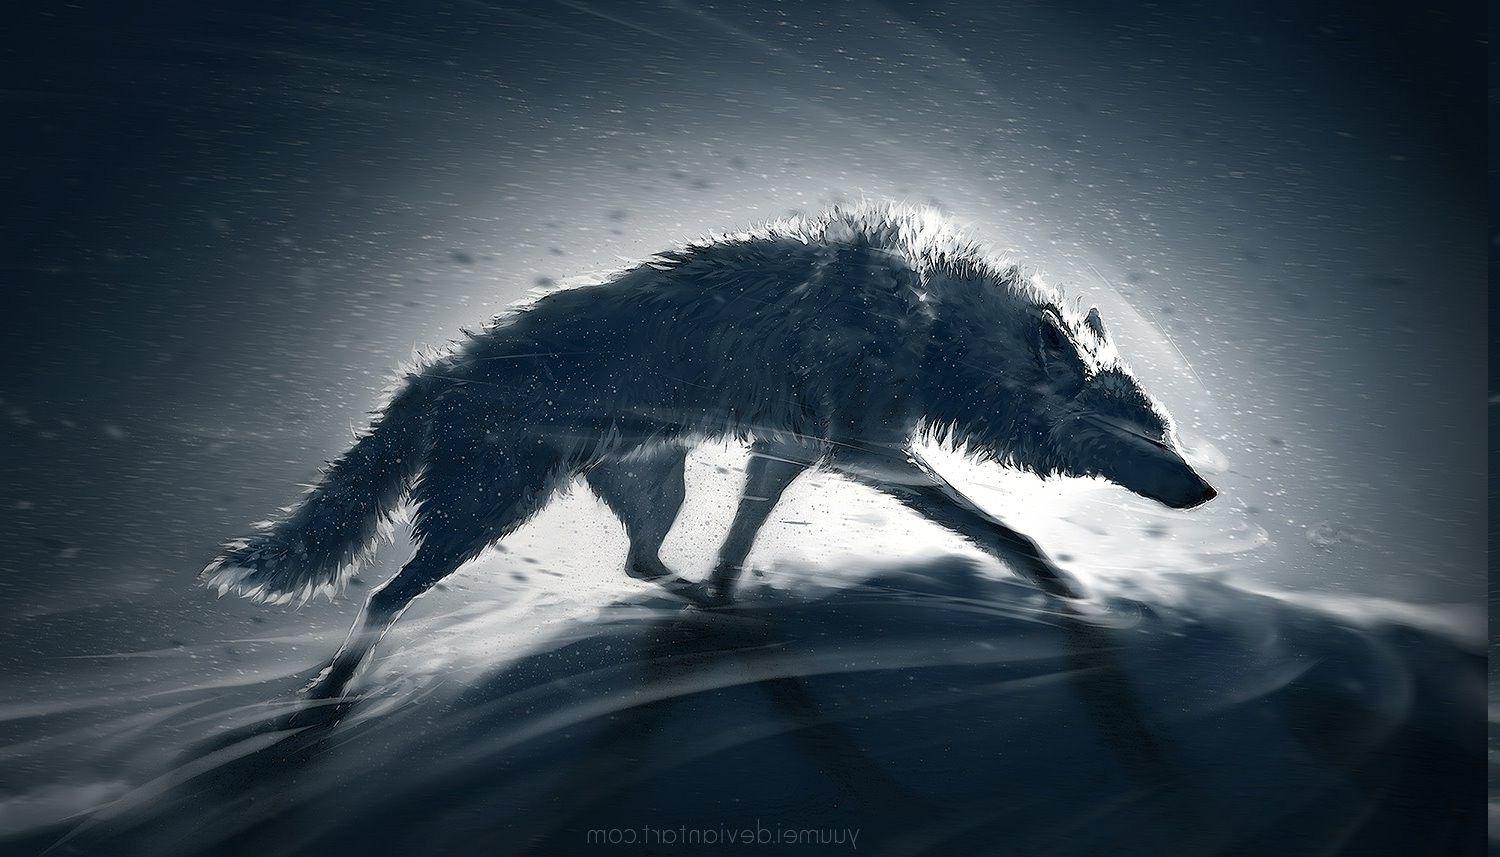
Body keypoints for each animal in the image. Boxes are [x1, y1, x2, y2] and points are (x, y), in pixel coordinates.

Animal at [203, 204, 1216, 702]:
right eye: (1144, 436)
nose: (1207, 490)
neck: (937, 335)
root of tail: (436, 370)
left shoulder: (789, 450)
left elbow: (740, 540)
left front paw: (732, 597)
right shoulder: (866, 455)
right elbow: (1011, 537)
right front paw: (1070, 593)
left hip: (655, 485)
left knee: (642, 561)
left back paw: (723, 615)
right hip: (488, 513)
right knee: (384, 595)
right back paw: (329, 691)